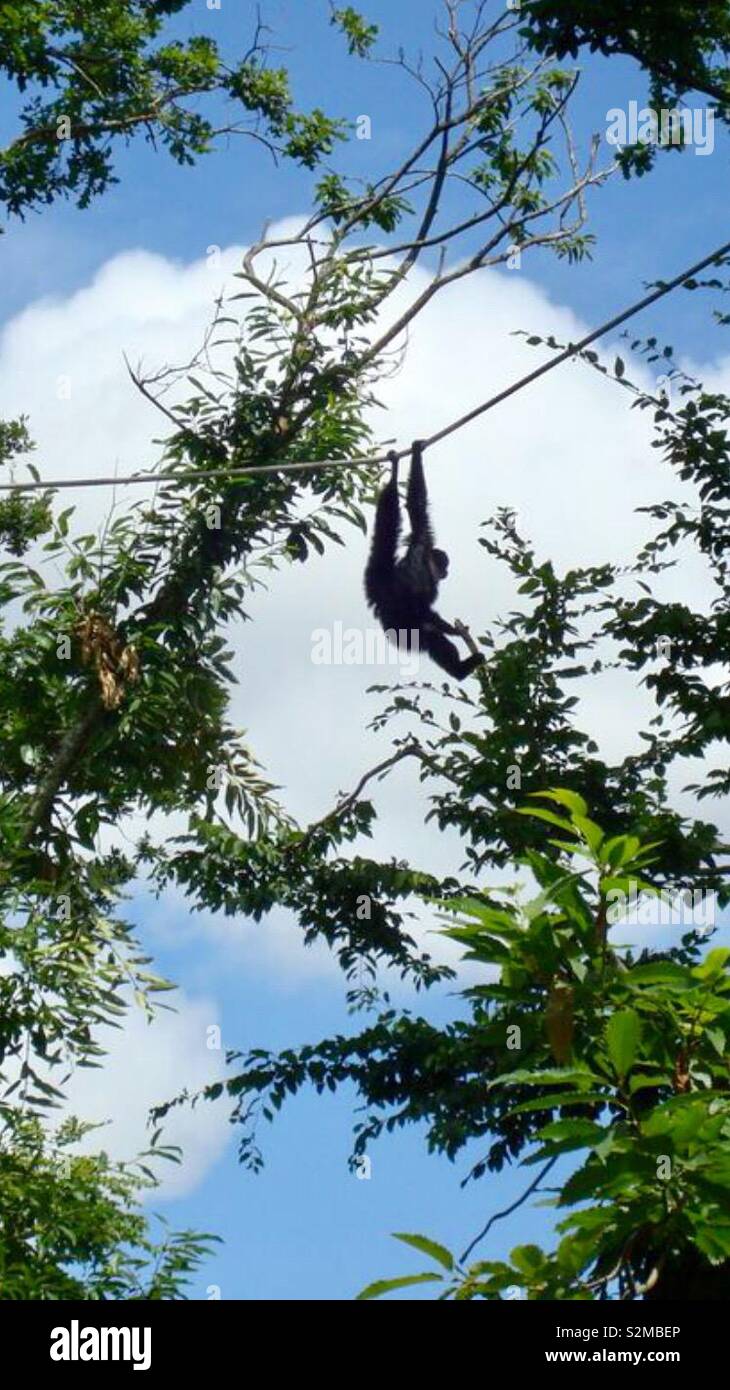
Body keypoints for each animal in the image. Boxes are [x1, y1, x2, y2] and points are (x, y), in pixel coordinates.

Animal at [364, 441, 485, 680]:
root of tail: (382, 591)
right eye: (445, 565)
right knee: (430, 636)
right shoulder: (422, 546)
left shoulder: (421, 541)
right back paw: (460, 670)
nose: (446, 573)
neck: (426, 561)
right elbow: (417, 504)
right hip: (402, 625)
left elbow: (412, 506)